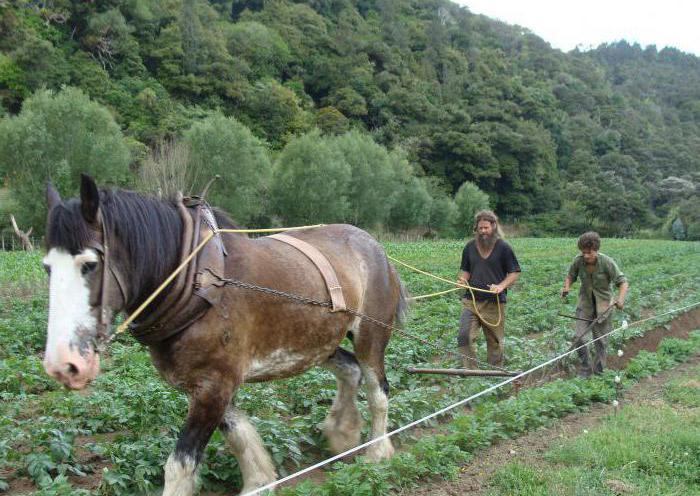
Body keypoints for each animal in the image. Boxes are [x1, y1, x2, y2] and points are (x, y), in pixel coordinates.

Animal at [42, 176, 404, 494]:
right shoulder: (211, 383)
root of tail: (374, 246)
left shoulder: (214, 384)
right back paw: (343, 432)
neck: (195, 283)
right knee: (350, 370)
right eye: (47, 267)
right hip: (319, 341)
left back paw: (377, 452)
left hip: (370, 335)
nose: (63, 364)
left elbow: (180, 464)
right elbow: (238, 433)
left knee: (377, 389)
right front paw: (260, 481)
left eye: (89, 264)